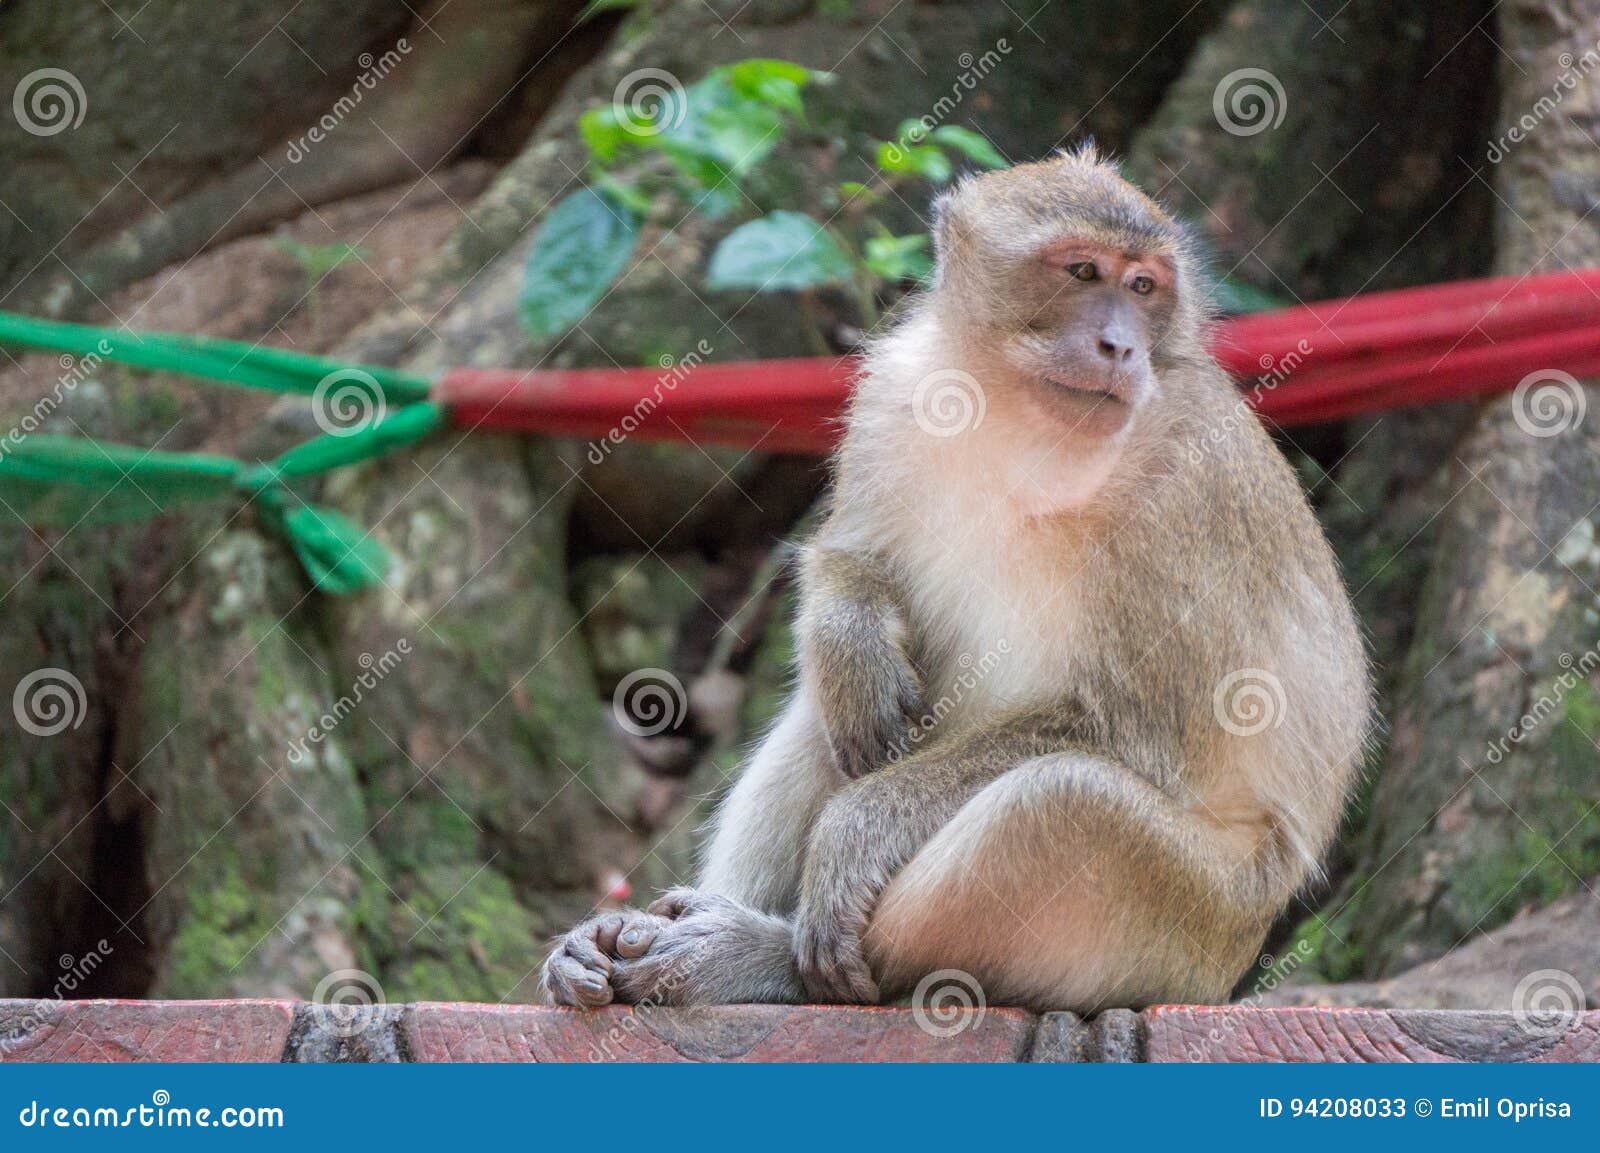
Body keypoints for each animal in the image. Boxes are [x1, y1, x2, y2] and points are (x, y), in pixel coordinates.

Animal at [541, 144, 1372, 1014]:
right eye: (1083, 271)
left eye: (1144, 287)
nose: (1120, 346)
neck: (1021, 426)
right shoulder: (895, 385)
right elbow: (854, 558)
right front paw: (847, 628)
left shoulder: (1187, 495)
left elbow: (1131, 730)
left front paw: (856, 826)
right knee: (839, 712)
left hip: (1199, 926)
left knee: (1060, 803)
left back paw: (767, 960)